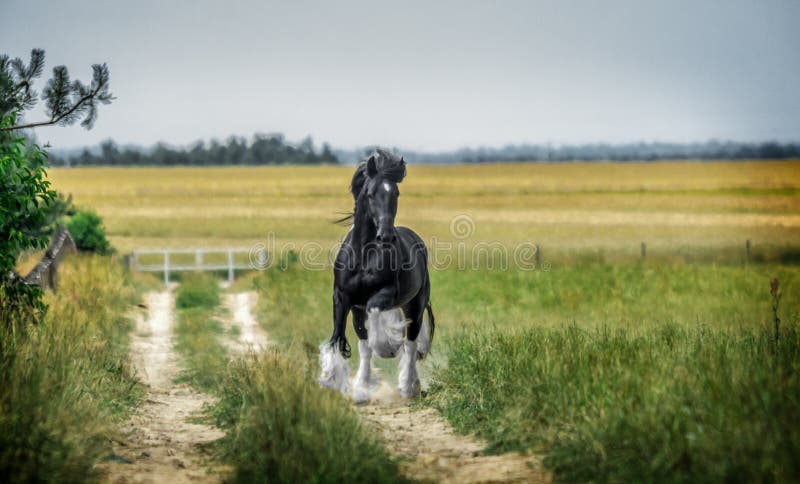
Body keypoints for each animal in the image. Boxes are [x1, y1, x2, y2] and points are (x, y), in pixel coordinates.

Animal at [318, 149, 435, 402]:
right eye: (371, 194)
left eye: (396, 193)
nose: (386, 236)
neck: (363, 254)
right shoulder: (343, 298)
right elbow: (337, 337)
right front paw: (331, 380)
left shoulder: (387, 292)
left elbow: (376, 315)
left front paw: (387, 346)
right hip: (358, 311)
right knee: (364, 345)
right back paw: (362, 387)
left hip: (415, 304)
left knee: (410, 344)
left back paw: (409, 386)